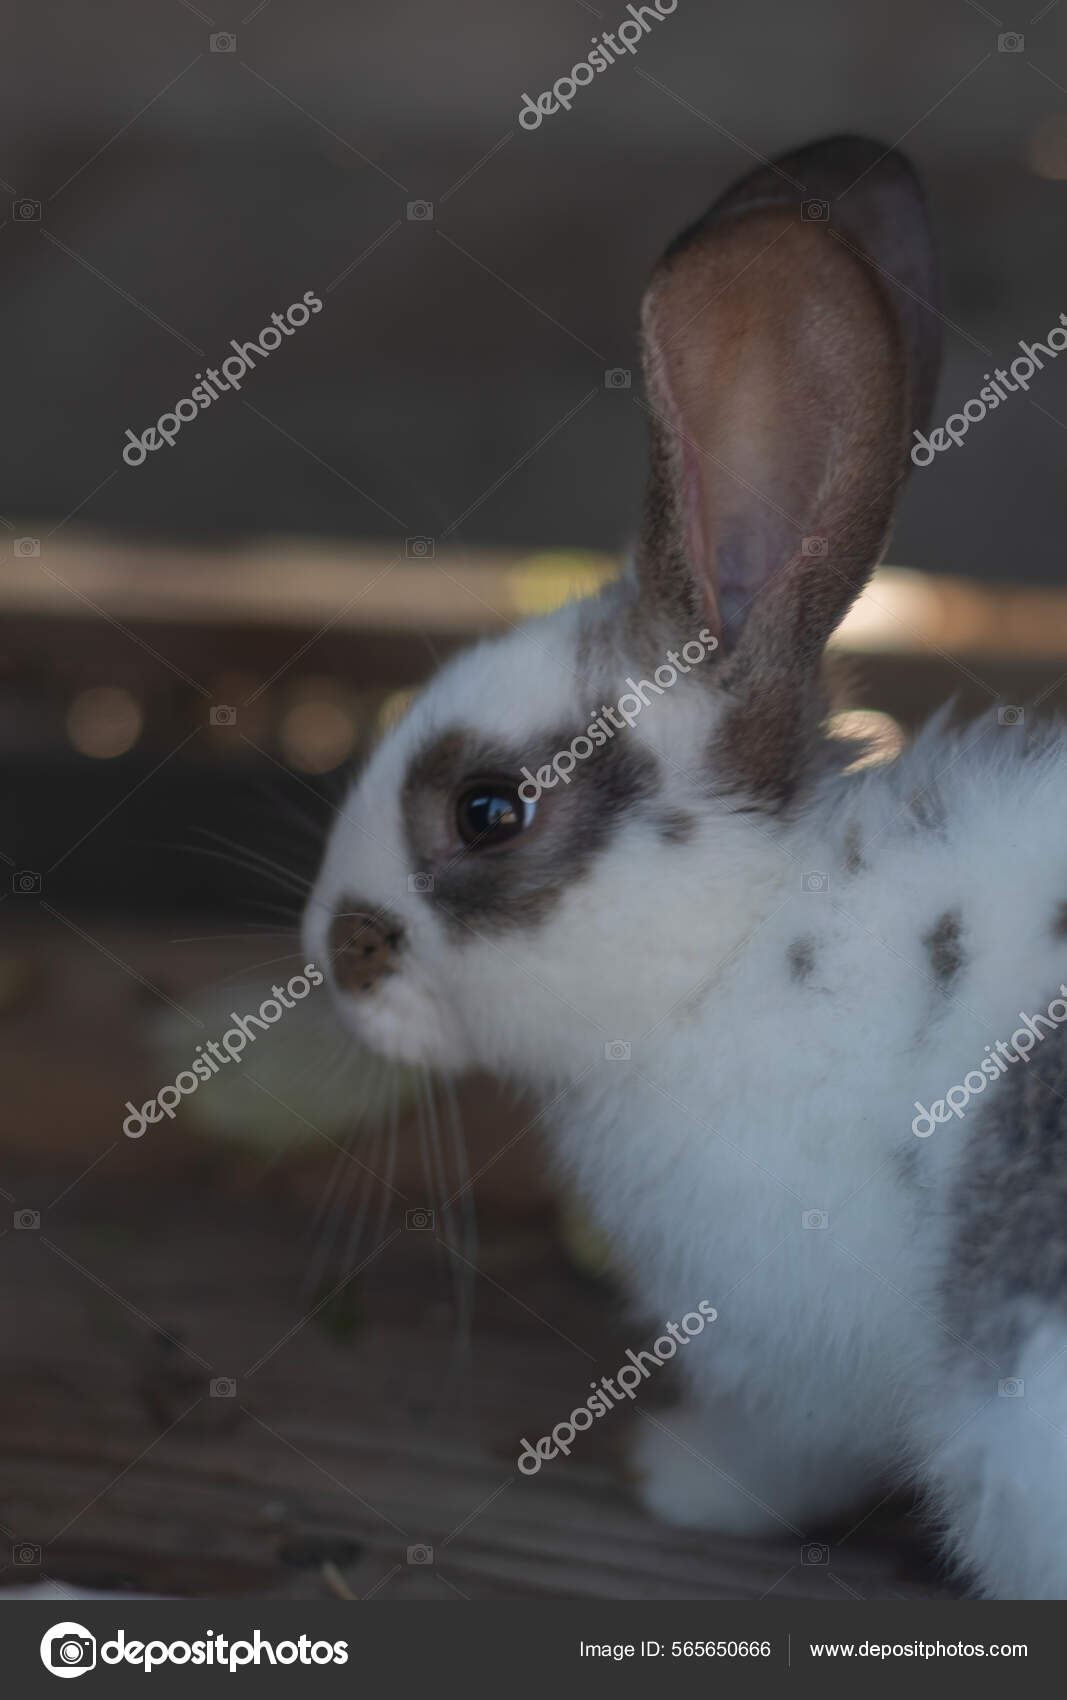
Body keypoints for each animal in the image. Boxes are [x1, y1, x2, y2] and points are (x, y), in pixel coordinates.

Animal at [304, 134, 1067, 1600]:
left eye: (488, 809)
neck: (736, 948)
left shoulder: (795, 1362)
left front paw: (671, 1479)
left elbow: (781, 1453)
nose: (335, 953)